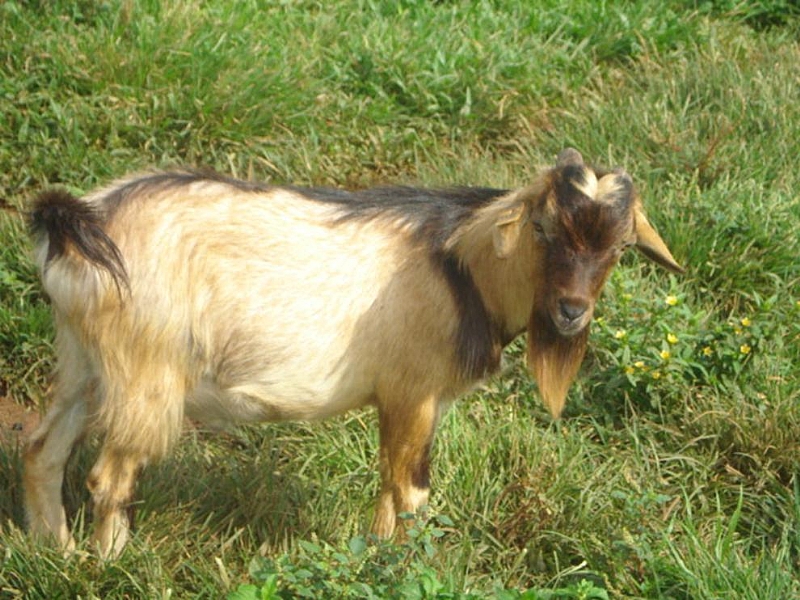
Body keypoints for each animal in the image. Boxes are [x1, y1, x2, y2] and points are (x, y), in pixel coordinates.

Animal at [24, 148, 682, 557]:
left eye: (620, 248)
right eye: (542, 229)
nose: (572, 311)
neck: (461, 268)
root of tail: (83, 225)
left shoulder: (403, 401)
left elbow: (389, 486)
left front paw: (376, 558)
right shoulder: (414, 392)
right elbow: (412, 493)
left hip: (84, 362)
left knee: (41, 449)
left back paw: (57, 551)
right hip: (146, 372)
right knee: (110, 477)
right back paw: (110, 563)